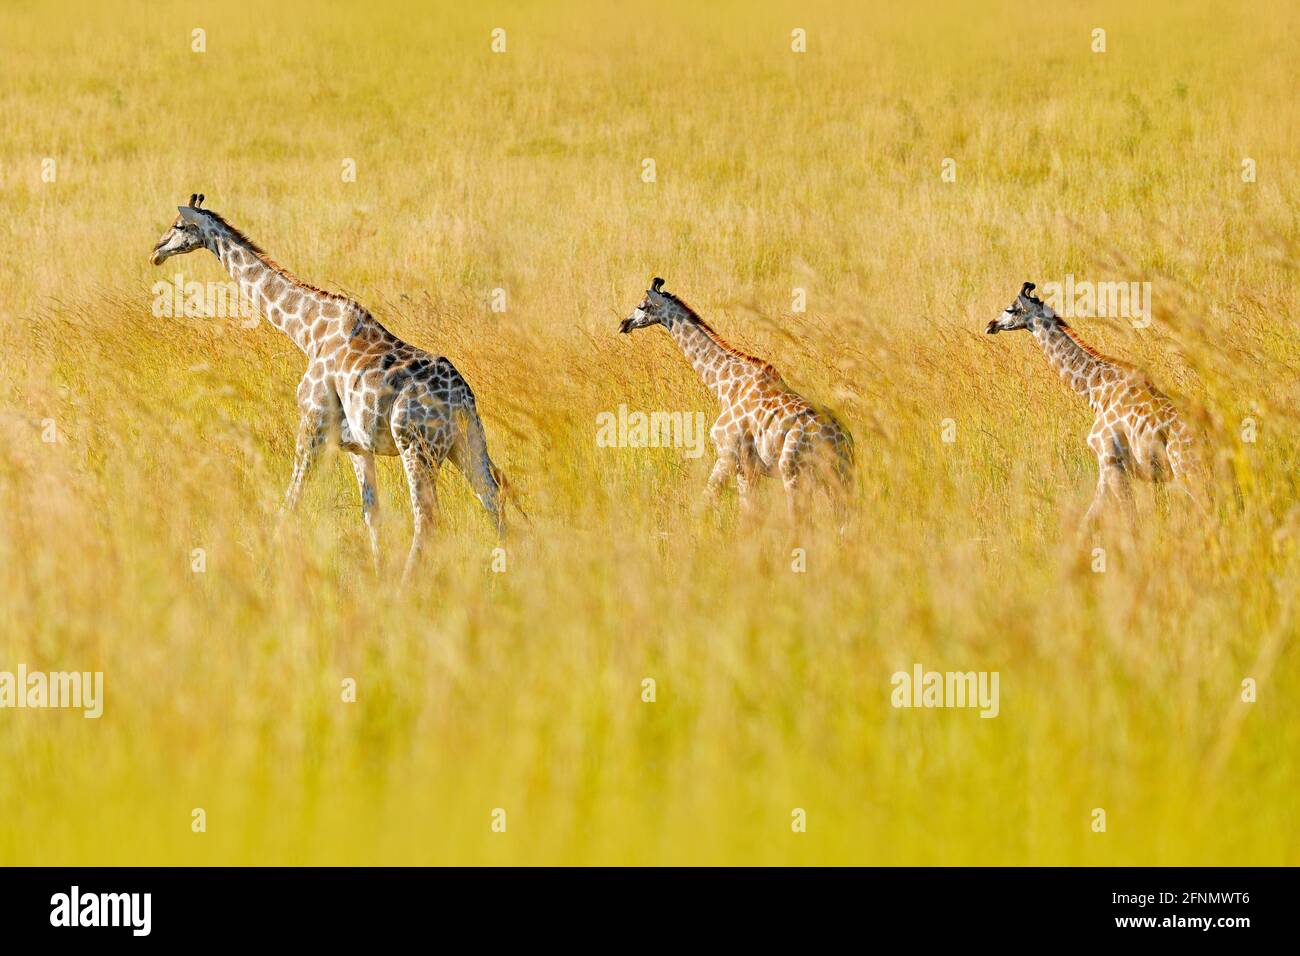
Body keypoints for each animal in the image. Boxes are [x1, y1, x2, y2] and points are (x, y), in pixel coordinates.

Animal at [151, 194, 513, 582]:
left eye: (178, 225)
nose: (155, 251)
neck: (308, 331)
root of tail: (462, 398)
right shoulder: (357, 446)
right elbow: (371, 515)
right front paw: (377, 577)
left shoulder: (312, 426)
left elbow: (290, 501)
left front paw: (264, 572)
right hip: (467, 443)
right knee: (493, 499)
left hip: (416, 447)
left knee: (428, 518)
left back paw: (408, 587)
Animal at [620, 277, 853, 525]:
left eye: (642, 306)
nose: (624, 323)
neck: (725, 384)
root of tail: (842, 439)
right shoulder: (748, 469)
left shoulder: (730, 457)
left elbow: (713, 500)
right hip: (839, 476)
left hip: (793, 471)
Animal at [986, 281, 1204, 523]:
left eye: (1010, 309)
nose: (991, 324)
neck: (1095, 390)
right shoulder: (1107, 467)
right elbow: (1090, 517)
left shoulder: (1110, 460)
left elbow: (1129, 518)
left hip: (1187, 470)